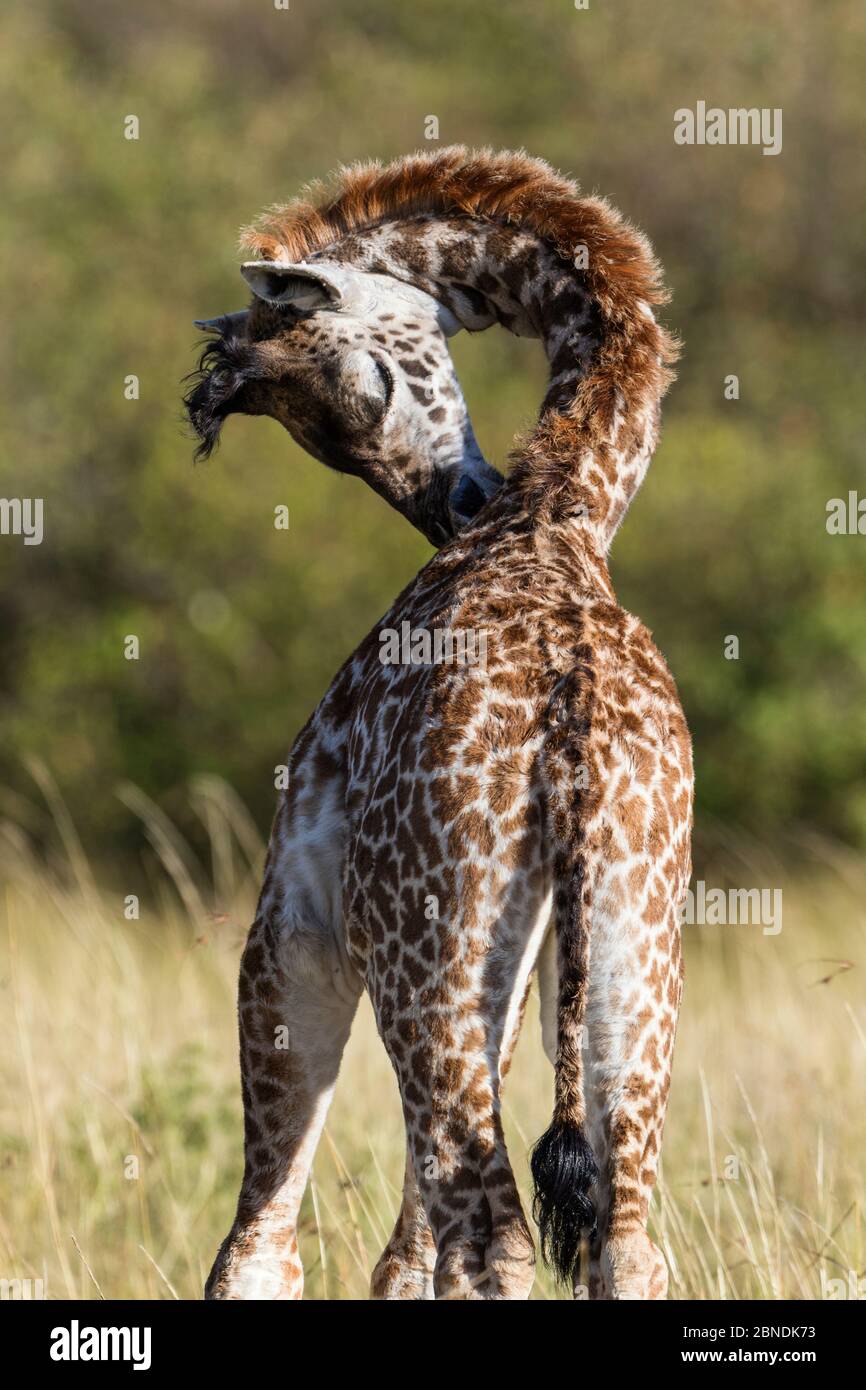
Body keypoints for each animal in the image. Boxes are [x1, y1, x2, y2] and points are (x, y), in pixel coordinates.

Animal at [186, 147, 692, 1301]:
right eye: (316, 439)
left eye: (374, 380)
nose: (455, 501)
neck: (560, 508)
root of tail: (573, 730)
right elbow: (398, 1253)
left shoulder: (294, 924)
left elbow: (260, 1240)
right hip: (631, 957)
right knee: (617, 1236)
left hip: (429, 963)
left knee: (490, 1233)